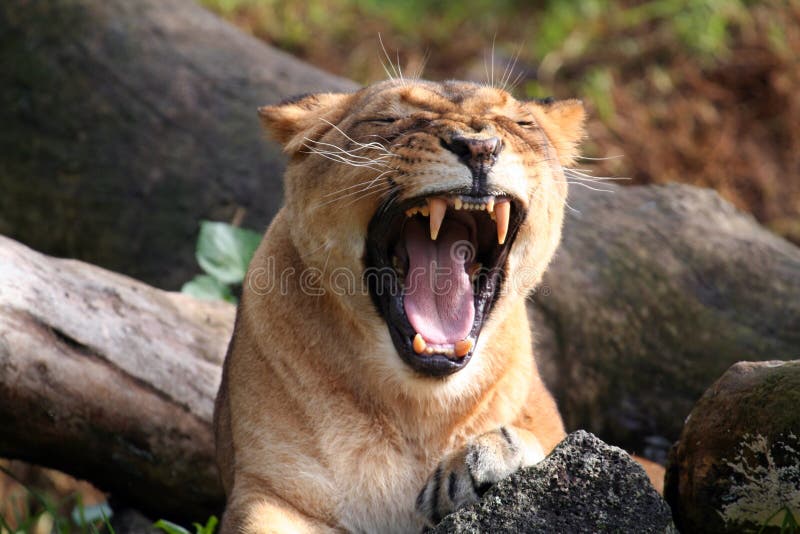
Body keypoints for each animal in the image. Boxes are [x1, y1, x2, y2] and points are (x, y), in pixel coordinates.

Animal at [214, 78, 615, 532]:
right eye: (390, 118)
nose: (479, 148)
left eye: (519, 123)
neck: (419, 409)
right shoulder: (268, 491)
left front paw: (484, 459)